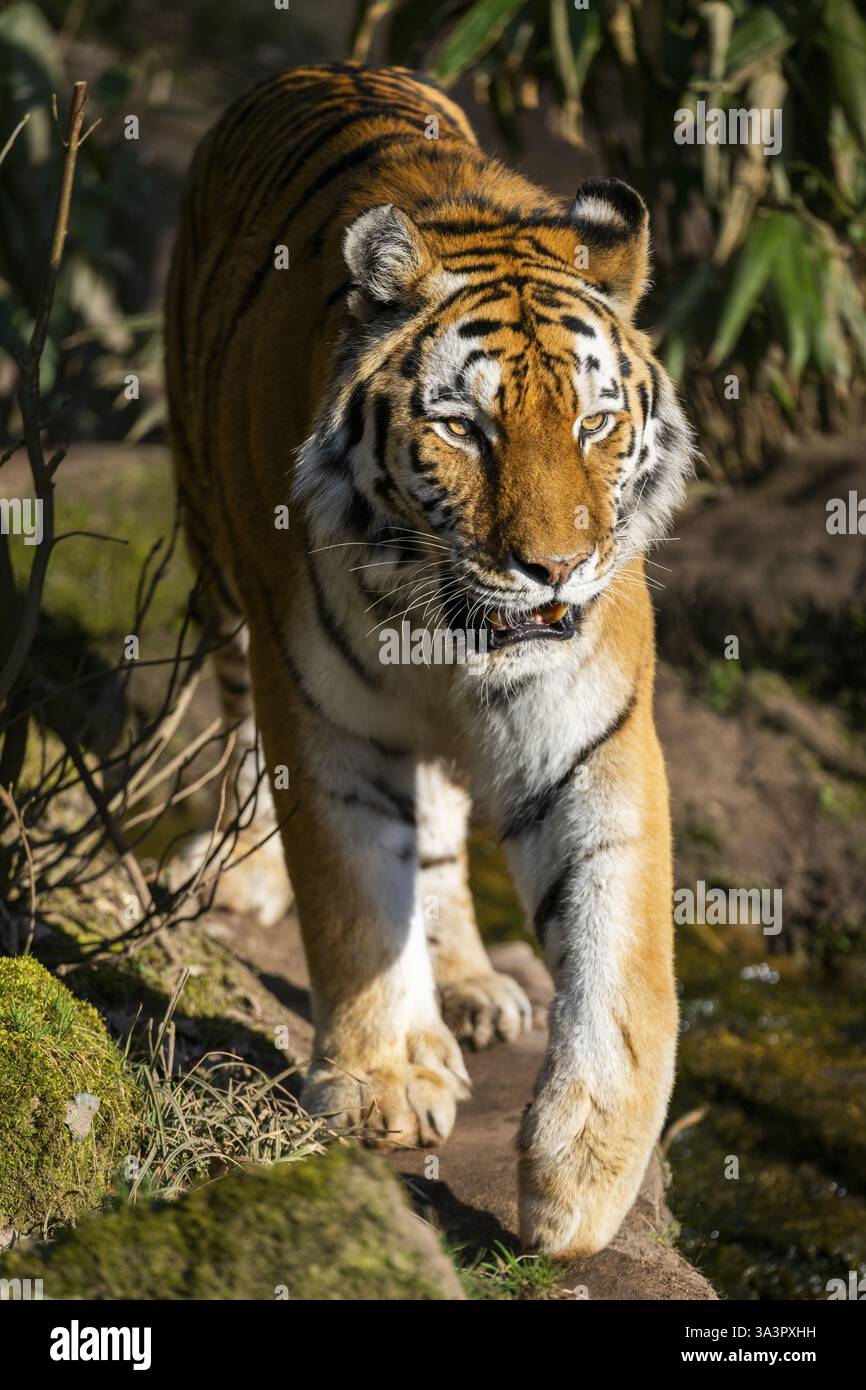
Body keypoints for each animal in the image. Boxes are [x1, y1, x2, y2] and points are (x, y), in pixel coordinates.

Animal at [165, 61, 695, 1258]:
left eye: (594, 423)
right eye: (466, 430)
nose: (555, 568)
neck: (450, 625)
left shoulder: (592, 731)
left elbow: (620, 951)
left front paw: (583, 1175)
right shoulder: (321, 711)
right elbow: (357, 893)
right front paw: (386, 1082)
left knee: (448, 829)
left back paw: (470, 982)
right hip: (217, 570)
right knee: (235, 726)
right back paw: (241, 872)